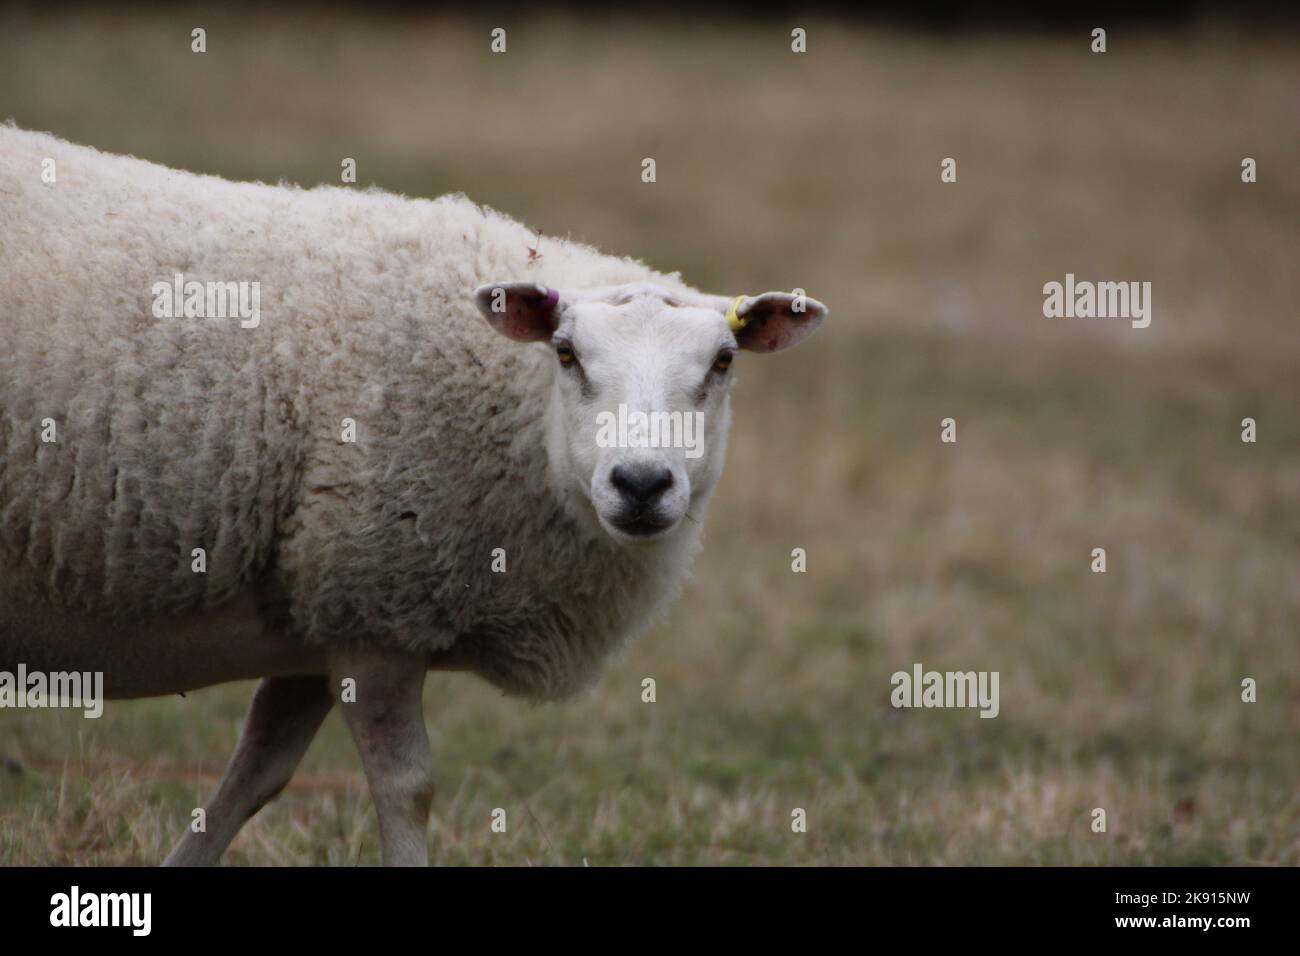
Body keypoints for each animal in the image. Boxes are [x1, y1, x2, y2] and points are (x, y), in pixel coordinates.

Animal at [0, 126, 827, 865]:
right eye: (565, 354)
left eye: (723, 362)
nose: (643, 482)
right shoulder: (376, 613)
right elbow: (407, 789)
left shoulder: (315, 614)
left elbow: (255, 775)